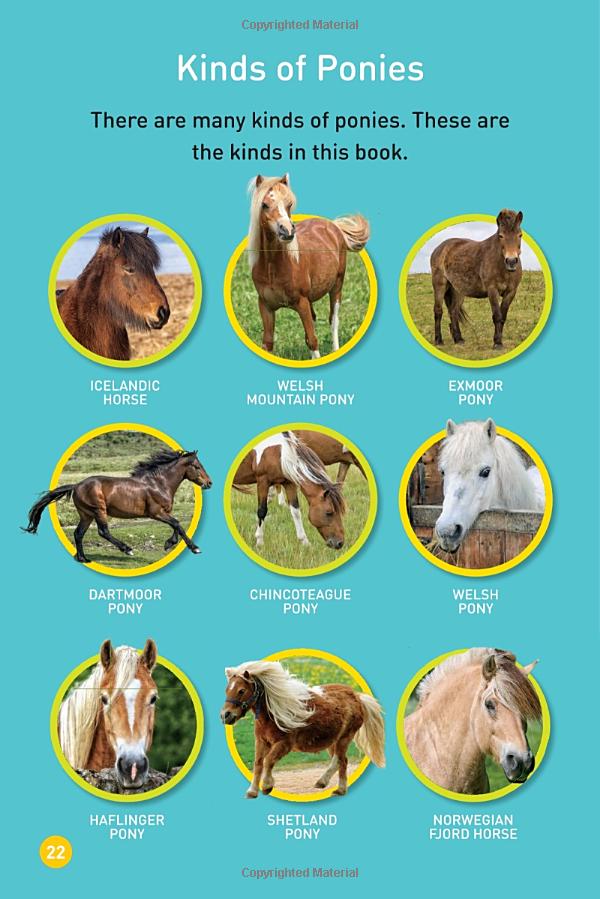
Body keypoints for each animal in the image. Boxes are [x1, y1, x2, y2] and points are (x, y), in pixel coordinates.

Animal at [23, 449, 212, 562]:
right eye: (197, 466)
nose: (209, 483)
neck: (159, 483)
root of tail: (76, 485)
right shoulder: (156, 512)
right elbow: (177, 524)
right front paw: (195, 548)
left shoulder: (164, 512)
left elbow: (176, 525)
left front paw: (168, 544)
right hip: (98, 510)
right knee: (103, 531)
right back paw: (127, 549)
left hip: (86, 515)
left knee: (78, 533)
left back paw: (84, 559)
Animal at [221, 659, 385, 798]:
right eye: (227, 690)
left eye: (241, 690)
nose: (225, 715)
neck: (272, 715)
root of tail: (357, 696)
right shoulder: (261, 742)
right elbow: (258, 763)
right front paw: (252, 791)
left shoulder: (284, 744)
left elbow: (268, 761)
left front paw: (267, 786)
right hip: (333, 741)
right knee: (341, 760)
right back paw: (331, 786)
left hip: (345, 737)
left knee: (340, 760)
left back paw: (330, 785)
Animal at [247, 174, 370, 359]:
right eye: (264, 205)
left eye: (289, 204)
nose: (287, 231)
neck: (272, 268)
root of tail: (333, 226)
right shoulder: (265, 306)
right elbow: (268, 343)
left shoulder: (302, 303)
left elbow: (312, 340)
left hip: (337, 286)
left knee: (333, 320)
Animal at [431, 209, 523, 348]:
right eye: (501, 236)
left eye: (520, 235)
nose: (511, 261)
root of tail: (440, 248)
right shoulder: (492, 290)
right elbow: (497, 315)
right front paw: (497, 344)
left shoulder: (511, 292)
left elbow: (503, 316)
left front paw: (499, 341)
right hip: (440, 285)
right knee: (438, 311)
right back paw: (438, 340)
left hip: (458, 290)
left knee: (453, 311)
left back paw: (459, 339)